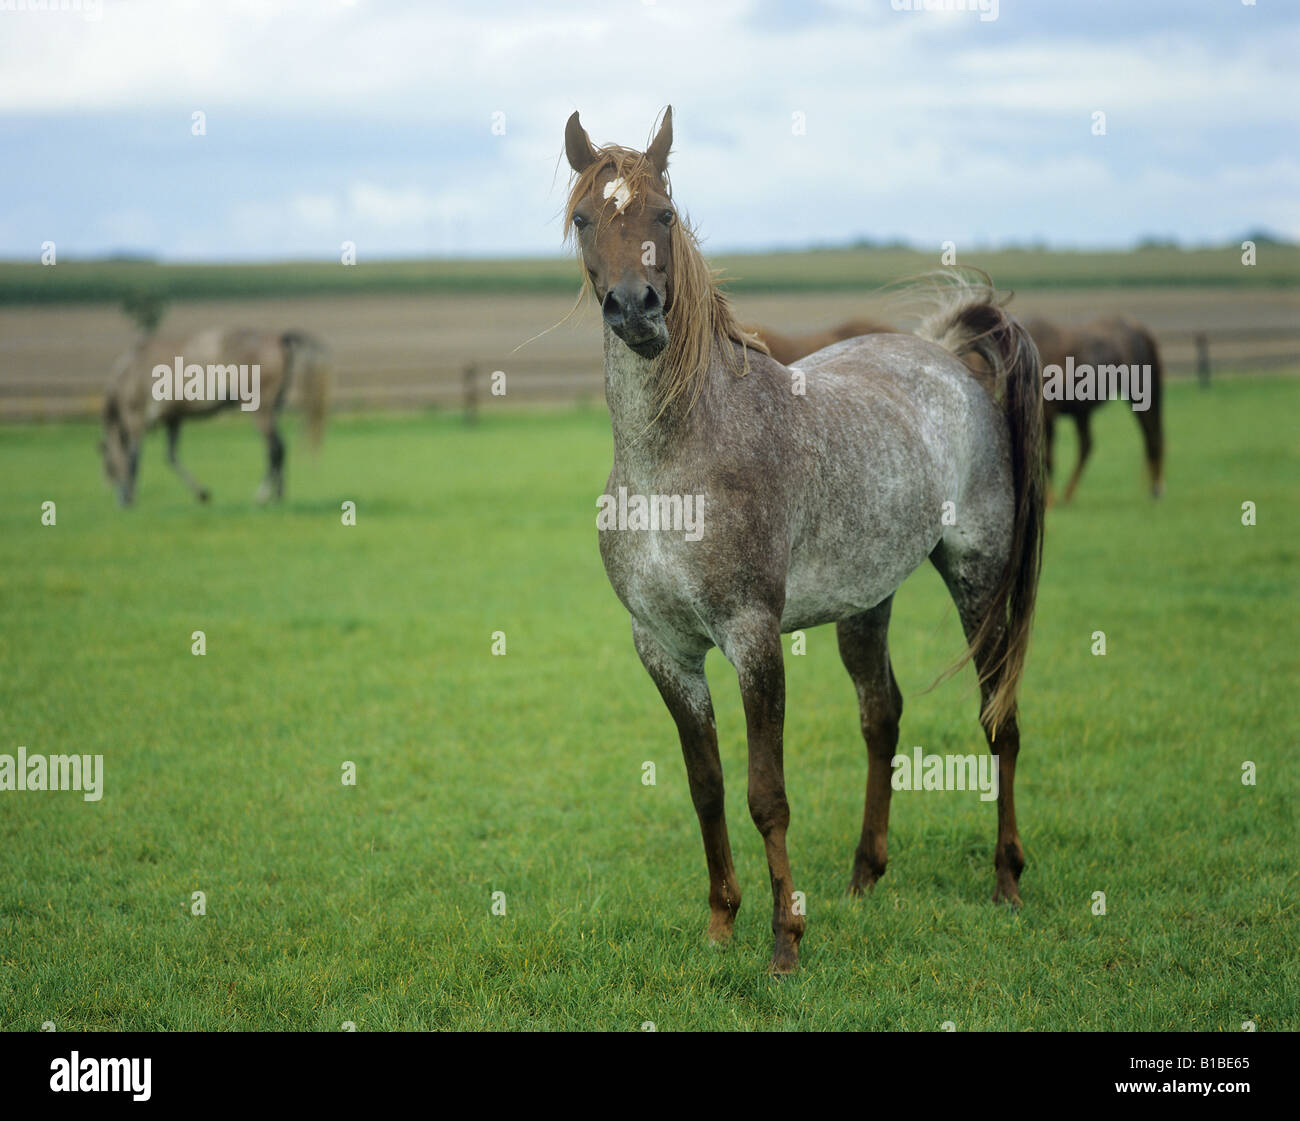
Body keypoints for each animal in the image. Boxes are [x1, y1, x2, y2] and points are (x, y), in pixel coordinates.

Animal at [100, 327, 329, 506]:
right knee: (279, 448)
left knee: (275, 449)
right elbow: (171, 456)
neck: (128, 373)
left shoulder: (135, 418)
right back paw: (278, 496)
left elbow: (133, 457)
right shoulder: (173, 418)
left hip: (261, 409)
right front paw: (202, 493)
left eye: (109, 467)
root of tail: (278, 338)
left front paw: (131, 495)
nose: (120, 501)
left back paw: (263, 496)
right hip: (273, 410)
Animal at [1021, 316, 1164, 504]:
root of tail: (1140, 330)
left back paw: (1156, 489)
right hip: (1083, 413)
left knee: (1152, 436)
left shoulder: (1048, 416)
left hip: (1139, 398)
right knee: (1087, 446)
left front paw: (1048, 499)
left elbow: (1047, 458)